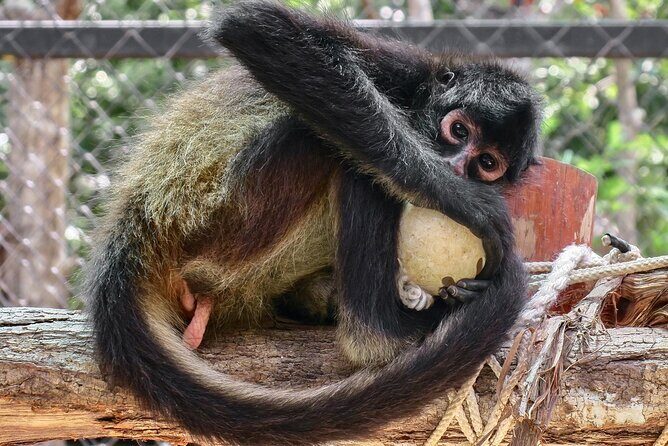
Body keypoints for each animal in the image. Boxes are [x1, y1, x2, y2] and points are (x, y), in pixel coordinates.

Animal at [86, 1, 542, 444]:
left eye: (487, 163)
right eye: (458, 130)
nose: (456, 168)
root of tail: (137, 224)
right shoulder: (405, 69)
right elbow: (253, 25)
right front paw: (459, 196)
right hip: (221, 225)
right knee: (340, 153)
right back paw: (379, 335)